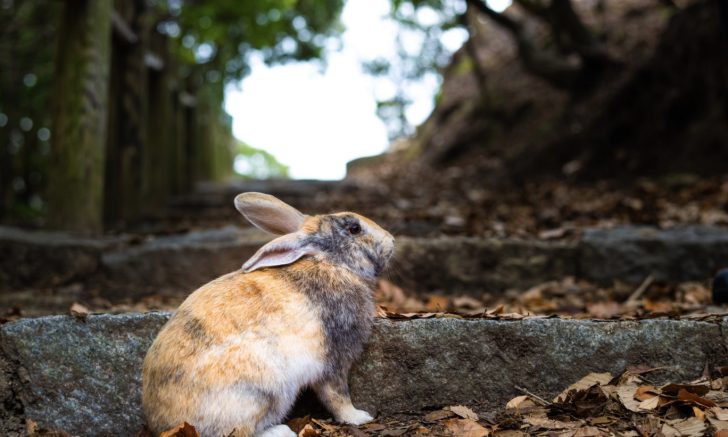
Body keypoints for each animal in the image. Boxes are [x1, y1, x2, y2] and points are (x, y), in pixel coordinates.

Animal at [142, 192, 395, 437]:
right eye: (354, 228)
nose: (391, 241)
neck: (330, 263)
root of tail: (162, 423)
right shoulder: (333, 359)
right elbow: (337, 395)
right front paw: (359, 417)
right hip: (263, 391)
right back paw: (281, 431)